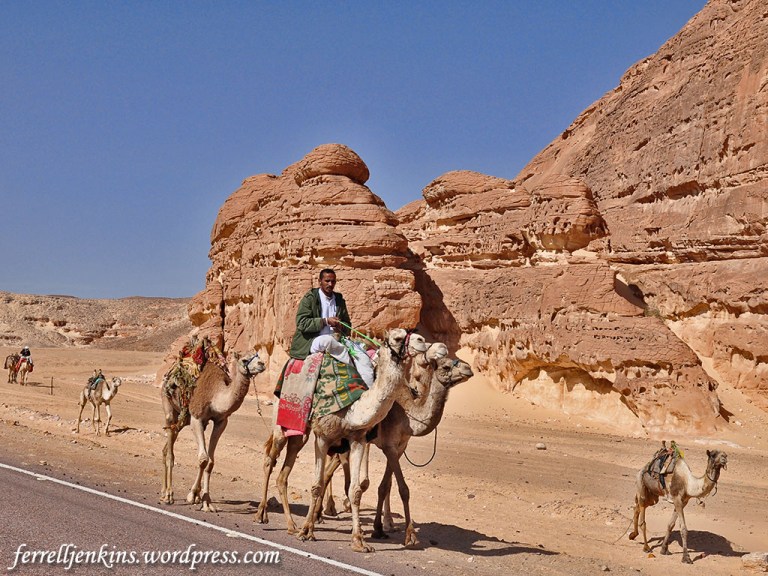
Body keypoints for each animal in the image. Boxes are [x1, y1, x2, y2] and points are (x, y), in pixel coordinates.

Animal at [161, 350, 266, 512]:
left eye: (258, 356)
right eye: (244, 359)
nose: (262, 364)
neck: (216, 395)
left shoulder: (221, 421)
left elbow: (210, 462)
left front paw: (205, 501)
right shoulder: (196, 418)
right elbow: (203, 459)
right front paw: (192, 495)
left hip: (183, 419)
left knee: (167, 447)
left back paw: (163, 492)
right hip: (169, 407)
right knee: (170, 450)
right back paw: (168, 495)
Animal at [254, 329, 428, 552]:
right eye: (398, 338)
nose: (422, 341)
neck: (351, 410)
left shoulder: (358, 440)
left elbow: (355, 489)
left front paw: (359, 541)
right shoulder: (322, 436)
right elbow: (317, 485)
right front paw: (307, 531)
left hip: (300, 435)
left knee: (283, 474)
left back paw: (291, 525)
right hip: (281, 424)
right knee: (270, 459)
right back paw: (262, 515)